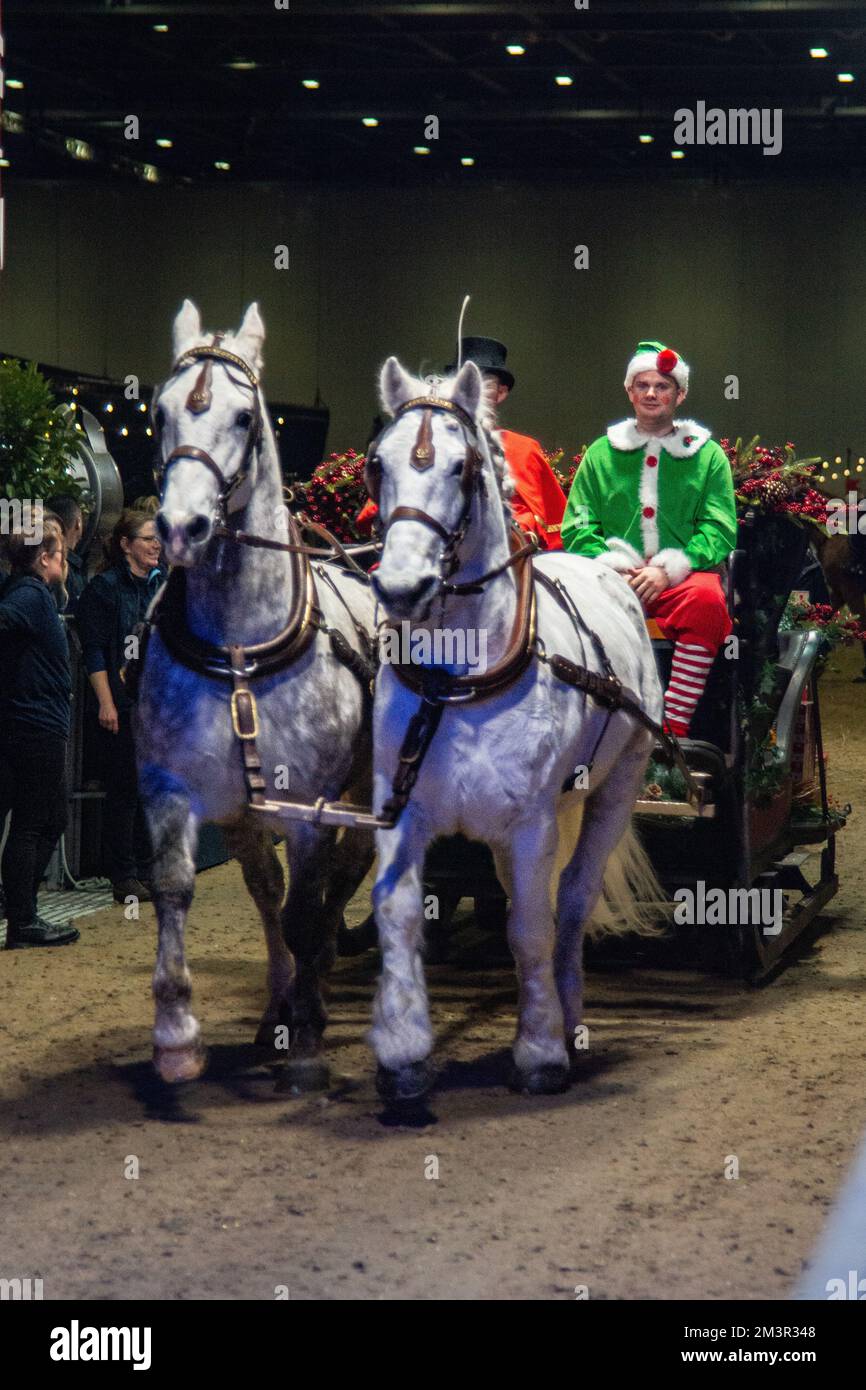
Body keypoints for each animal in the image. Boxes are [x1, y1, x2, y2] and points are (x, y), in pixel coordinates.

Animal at [136, 300, 375, 1086]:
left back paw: (314, 990)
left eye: (244, 416)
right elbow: (175, 886)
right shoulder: (170, 786)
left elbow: (307, 907)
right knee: (268, 888)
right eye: (157, 410)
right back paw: (282, 1001)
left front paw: (305, 1043)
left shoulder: (309, 805)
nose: (181, 526)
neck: (241, 648)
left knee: (343, 875)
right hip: (245, 812)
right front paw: (176, 1034)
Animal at [366, 357, 664, 1101]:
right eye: (378, 464)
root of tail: (604, 567)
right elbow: (399, 918)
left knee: (574, 900)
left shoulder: (532, 821)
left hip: (616, 785)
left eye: (461, 467)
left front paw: (540, 1051)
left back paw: (569, 1015)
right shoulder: (401, 810)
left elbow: (530, 928)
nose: (402, 587)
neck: (456, 681)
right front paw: (403, 1053)